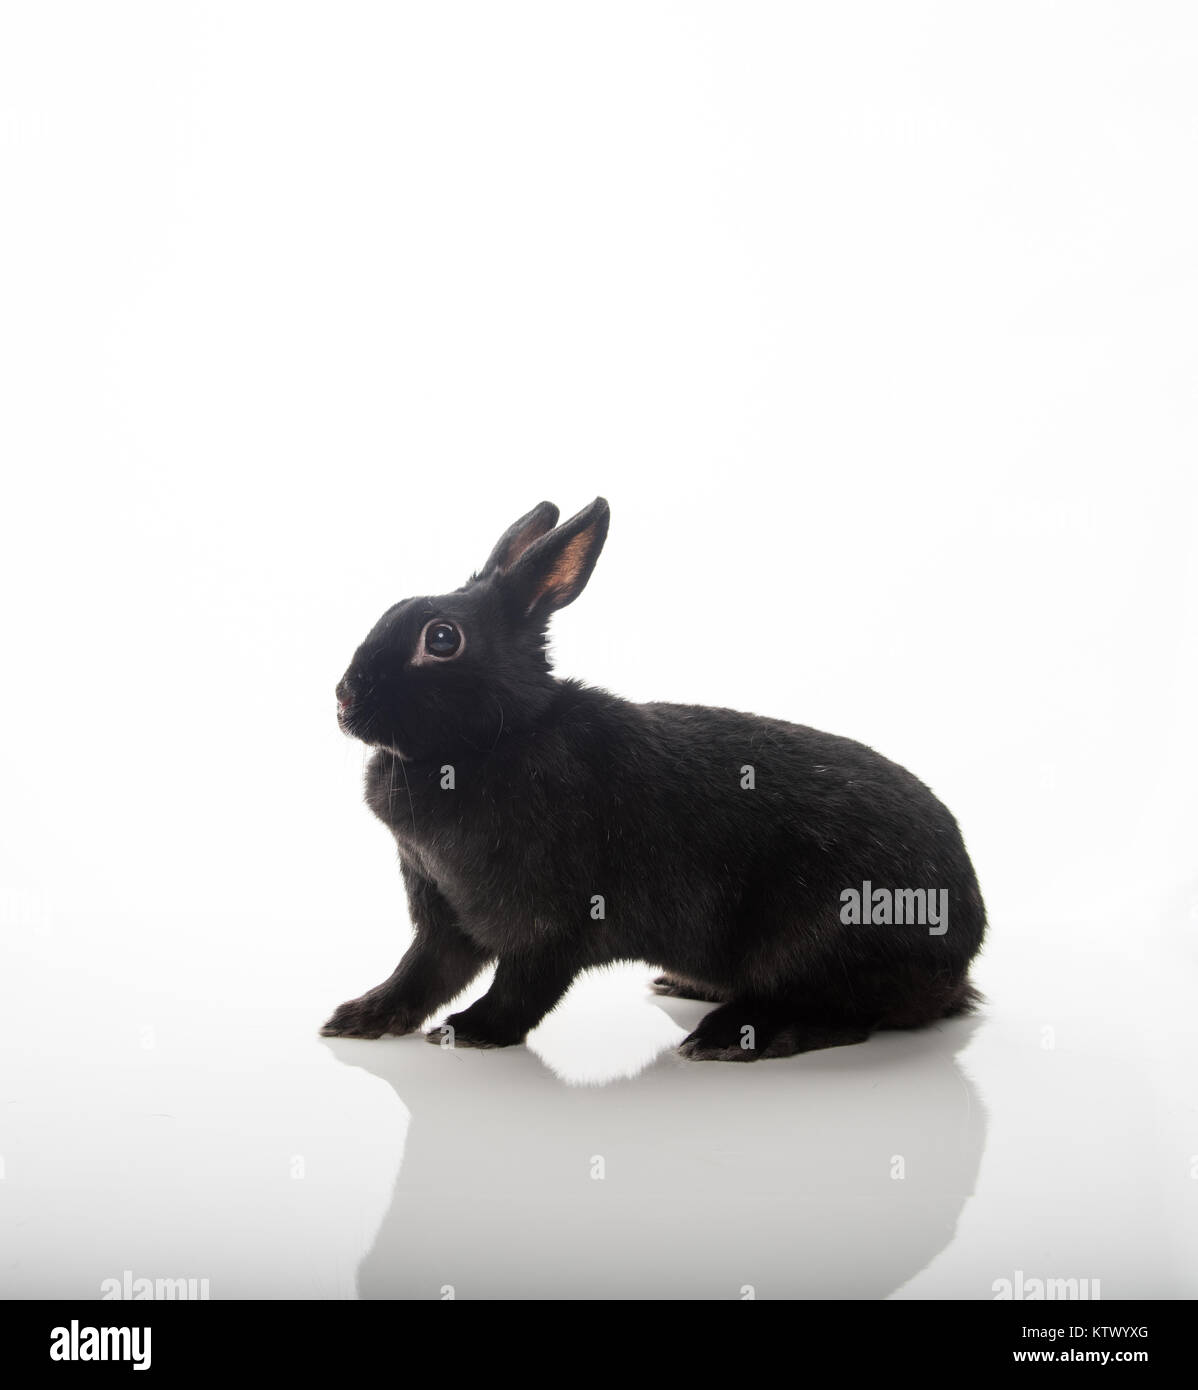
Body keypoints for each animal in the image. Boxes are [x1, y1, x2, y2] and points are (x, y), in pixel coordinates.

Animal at [322, 498, 986, 1060]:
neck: (494, 741)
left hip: (825, 940)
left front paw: (472, 1031)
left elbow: (524, 983)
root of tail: (962, 951)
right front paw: (358, 1018)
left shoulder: (555, 919)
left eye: (441, 639)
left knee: (842, 1013)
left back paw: (733, 1035)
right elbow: (422, 972)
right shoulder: (443, 911)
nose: (343, 698)